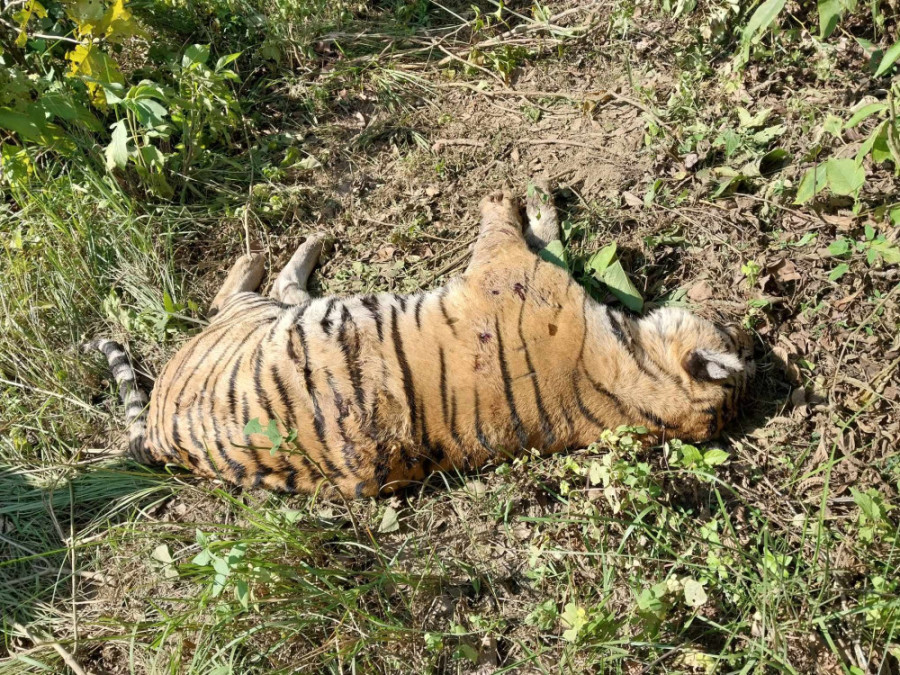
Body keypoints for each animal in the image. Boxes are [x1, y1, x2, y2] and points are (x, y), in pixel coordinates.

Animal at [87, 181, 754, 497]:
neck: (636, 391)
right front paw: (533, 199)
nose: (749, 335)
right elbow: (547, 236)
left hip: (250, 323)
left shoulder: (504, 266)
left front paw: (511, 197)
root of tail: (160, 439)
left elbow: (516, 230)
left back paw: (289, 246)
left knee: (249, 289)